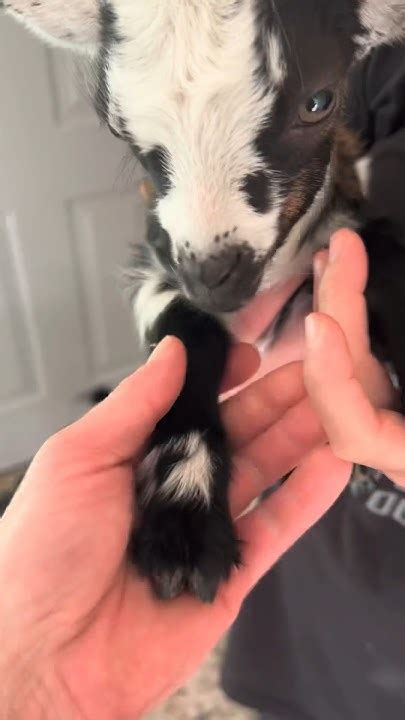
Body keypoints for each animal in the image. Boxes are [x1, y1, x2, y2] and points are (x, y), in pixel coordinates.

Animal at [4, 0, 405, 603]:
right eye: (116, 125)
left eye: (318, 103)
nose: (212, 274)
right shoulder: (154, 263)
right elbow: (191, 336)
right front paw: (184, 521)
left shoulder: (344, 216)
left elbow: (381, 249)